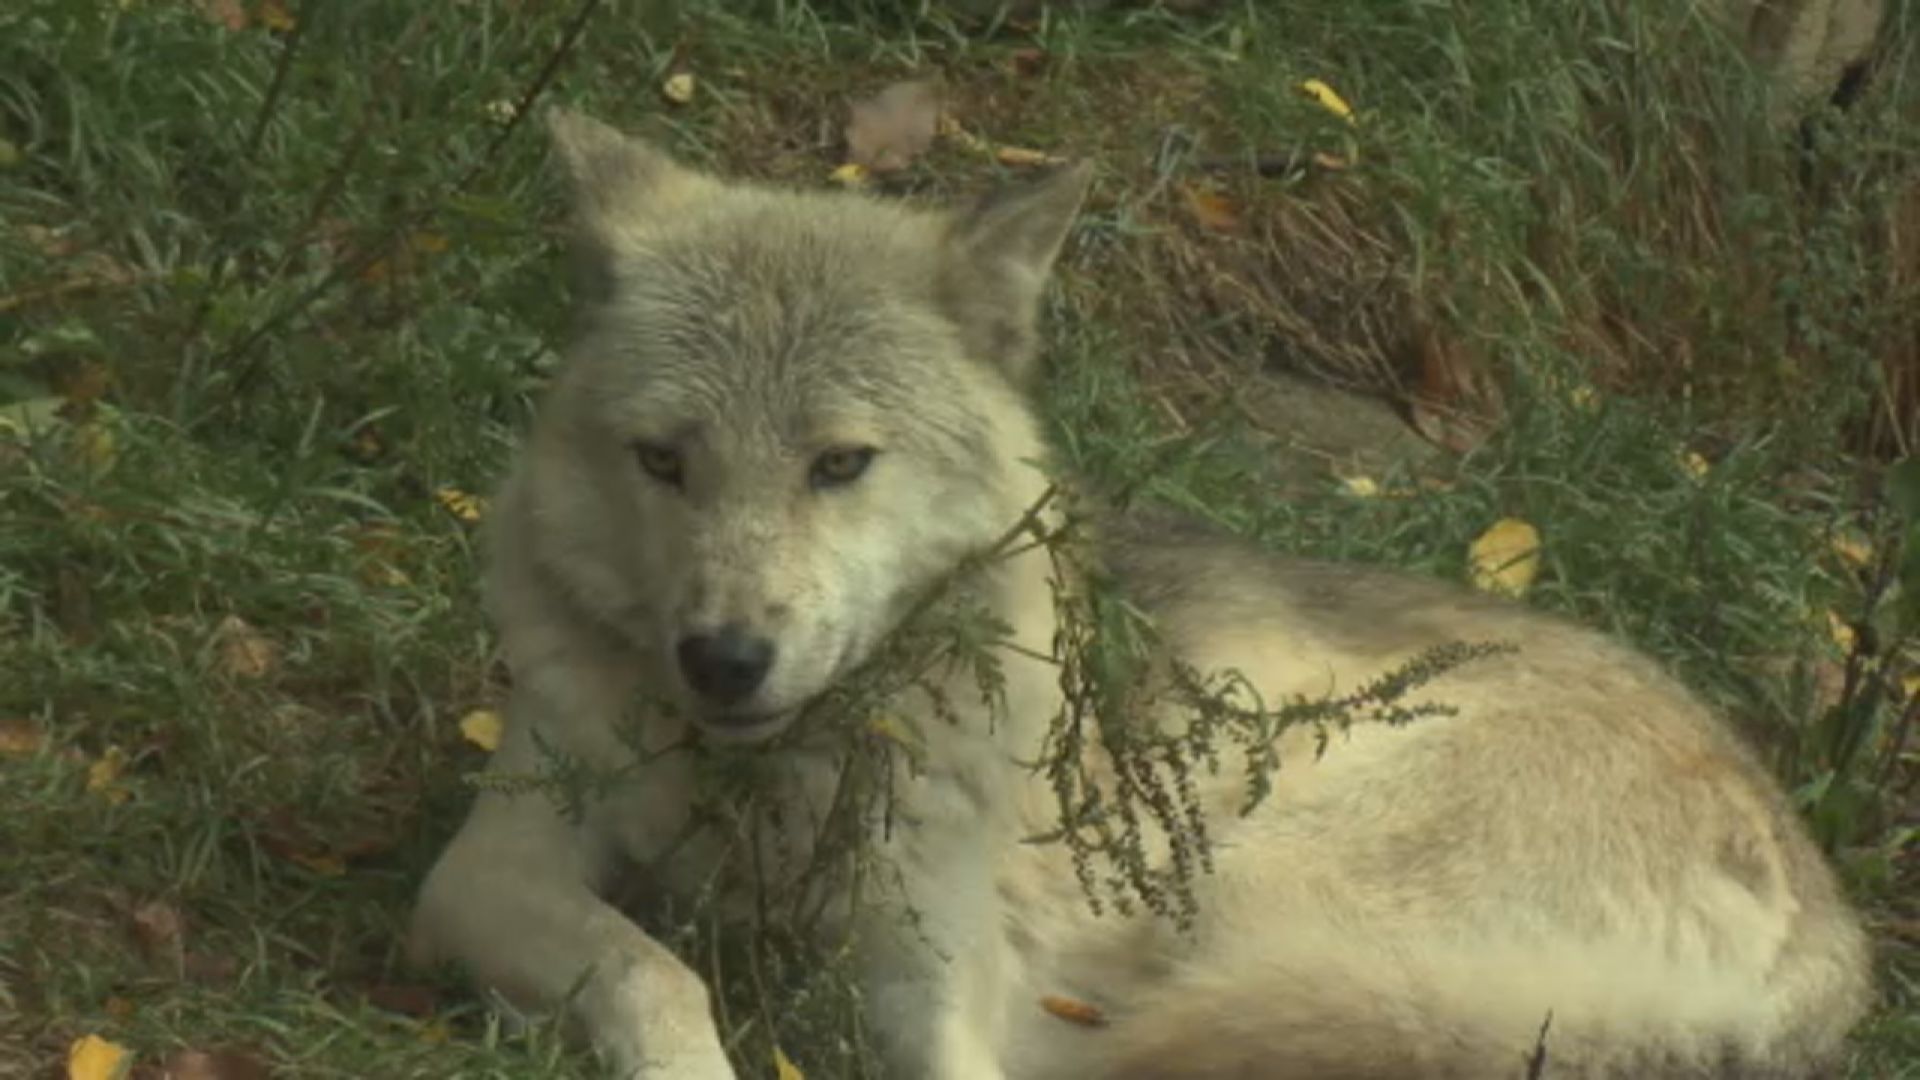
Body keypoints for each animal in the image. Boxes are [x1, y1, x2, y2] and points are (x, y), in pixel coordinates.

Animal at [407, 106, 1874, 1079]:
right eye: (664, 460)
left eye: (840, 464)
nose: (723, 660)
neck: (774, 784)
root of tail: (1833, 917)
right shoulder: (488, 868)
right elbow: (655, 971)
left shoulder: (935, 956)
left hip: (1251, 878)